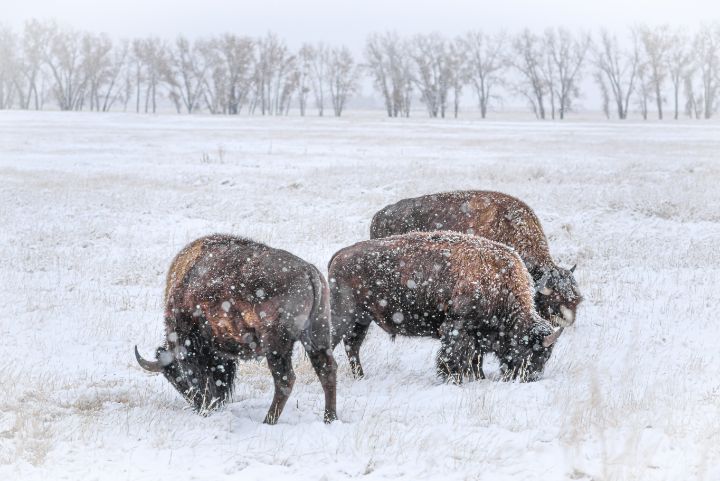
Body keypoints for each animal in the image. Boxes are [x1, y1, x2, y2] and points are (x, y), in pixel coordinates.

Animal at [135, 234, 337, 424]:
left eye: (176, 375)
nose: (201, 407)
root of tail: (308, 271)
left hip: (276, 345)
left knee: (285, 380)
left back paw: (268, 421)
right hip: (317, 332)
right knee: (326, 369)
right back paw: (329, 418)